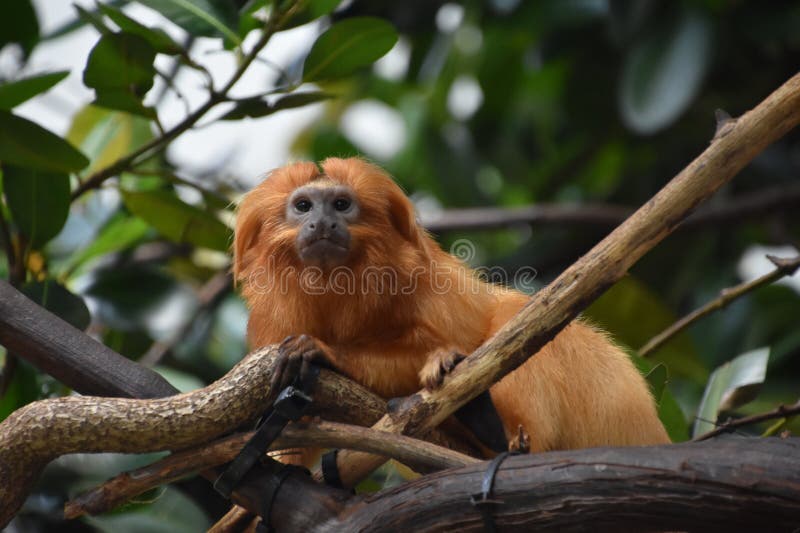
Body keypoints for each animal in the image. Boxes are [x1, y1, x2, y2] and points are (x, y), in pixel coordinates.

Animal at [233, 157, 670, 461]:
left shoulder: (426, 284)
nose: (322, 223)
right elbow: (297, 430)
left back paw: (496, 431)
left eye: (341, 204)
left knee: (518, 321)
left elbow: (446, 347)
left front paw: (324, 353)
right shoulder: (274, 321)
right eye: (303, 206)